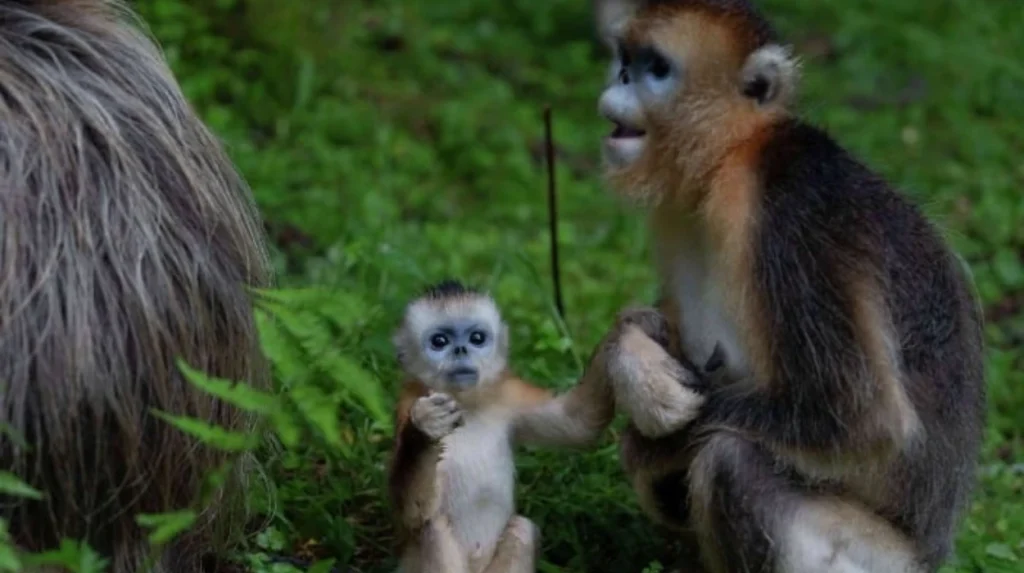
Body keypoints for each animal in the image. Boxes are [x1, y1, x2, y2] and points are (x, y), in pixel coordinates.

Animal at [387, 279, 623, 573]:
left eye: (477, 338)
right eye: (439, 341)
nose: (461, 350)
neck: (468, 406)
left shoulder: (507, 394)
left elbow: (578, 424)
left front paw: (623, 334)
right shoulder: (408, 404)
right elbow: (412, 514)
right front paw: (425, 430)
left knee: (523, 529)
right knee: (434, 528)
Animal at [580, 1, 988, 572]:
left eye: (656, 68)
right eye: (625, 59)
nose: (619, 79)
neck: (734, 154)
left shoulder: (788, 204)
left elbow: (863, 419)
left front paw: (647, 442)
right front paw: (634, 355)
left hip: (870, 557)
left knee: (730, 459)